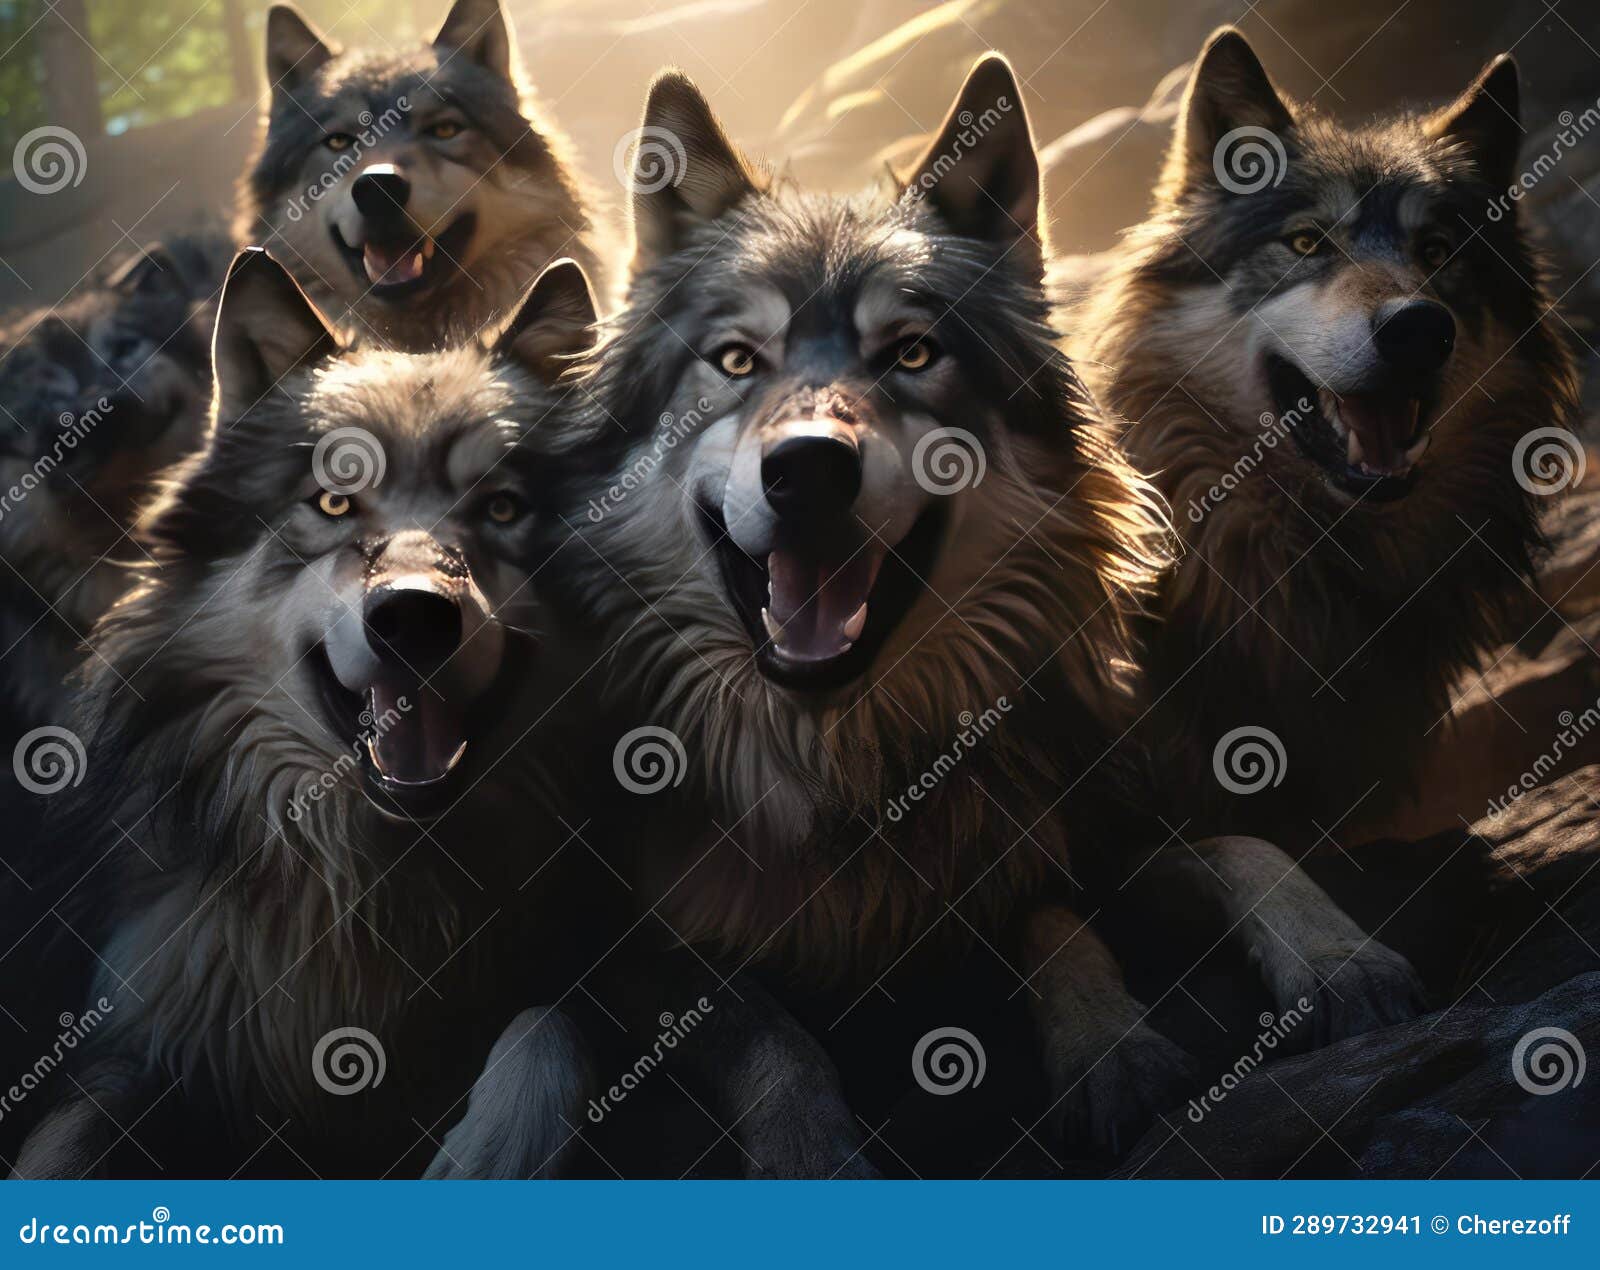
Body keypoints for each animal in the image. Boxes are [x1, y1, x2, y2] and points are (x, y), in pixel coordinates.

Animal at [11, 249, 614, 1178]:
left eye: (503, 508)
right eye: (333, 503)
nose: (414, 617)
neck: (372, 892)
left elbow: (548, 1027)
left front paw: (491, 1157)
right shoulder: (139, 1046)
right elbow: (73, 1130)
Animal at [548, 56, 1221, 1157]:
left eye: (910, 353)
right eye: (736, 361)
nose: (807, 468)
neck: (845, 783)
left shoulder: (1052, 838)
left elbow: (1053, 920)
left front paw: (1115, 1050)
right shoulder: (631, 956)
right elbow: (766, 1031)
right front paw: (814, 1152)